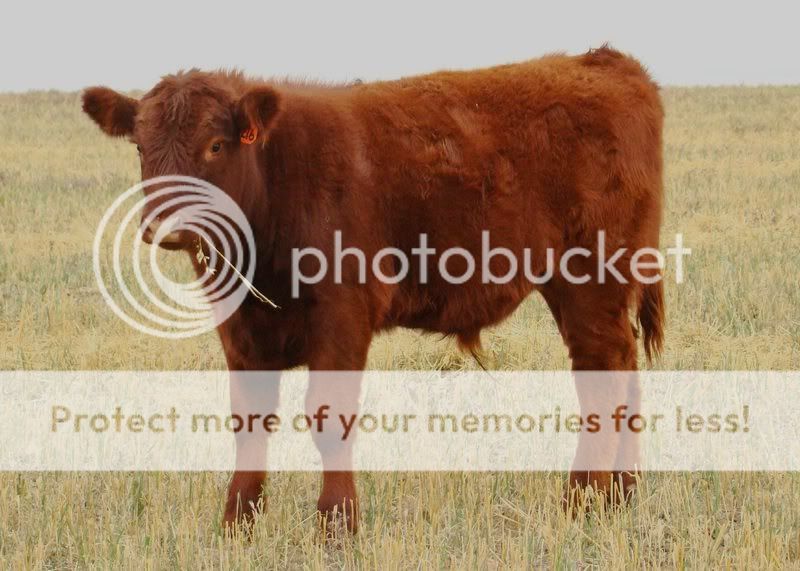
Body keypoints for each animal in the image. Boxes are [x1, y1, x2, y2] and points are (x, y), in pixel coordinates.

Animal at [82, 45, 664, 533]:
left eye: (216, 145)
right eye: (140, 147)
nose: (167, 226)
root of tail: (603, 61)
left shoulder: (341, 316)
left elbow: (328, 418)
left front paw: (337, 525)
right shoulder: (242, 330)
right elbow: (249, 421)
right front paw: (236, 525)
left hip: (588, 280)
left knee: (601, 377)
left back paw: (582, 500)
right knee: (625, 366)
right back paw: (622, 492)